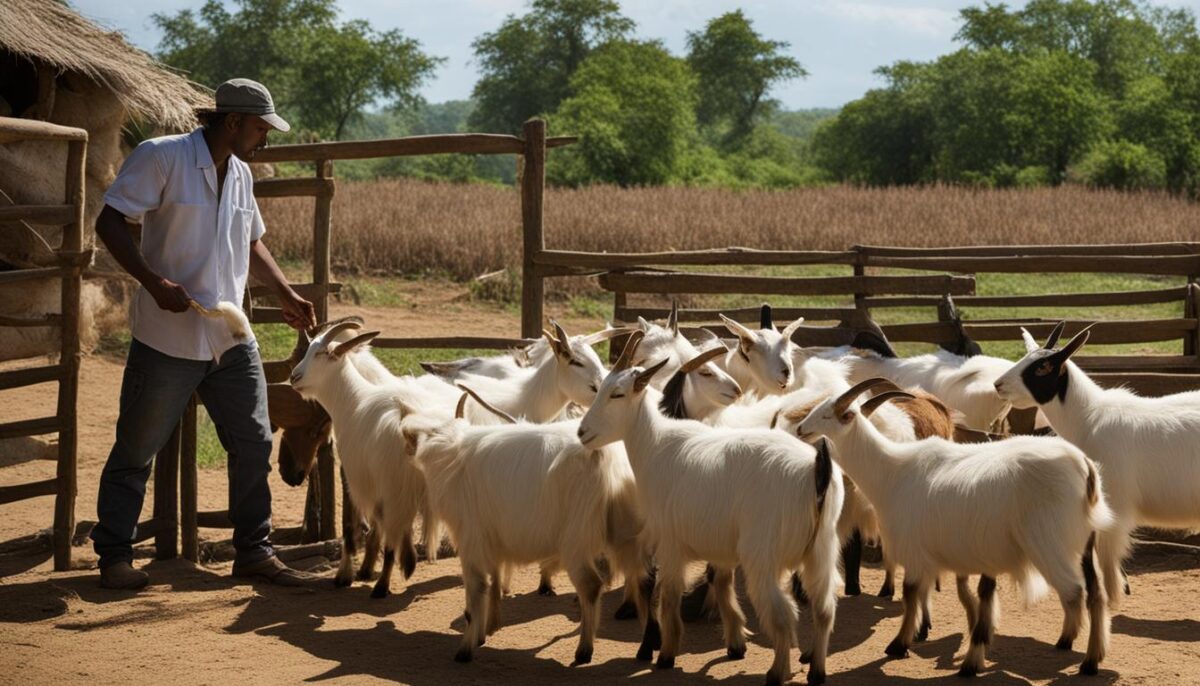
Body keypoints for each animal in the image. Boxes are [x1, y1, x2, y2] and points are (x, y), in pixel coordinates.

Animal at [578, 331, 843, 685]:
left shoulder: (671, 544)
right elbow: (722, 585)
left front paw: (666, 655)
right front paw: (735, 645)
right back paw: (816, 670)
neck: (656, 444)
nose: (582, 432)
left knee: (783, 614)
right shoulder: (720, 549)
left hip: (761, 555)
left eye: (617, 393)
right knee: (824, 609)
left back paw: (778, 672)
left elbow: (669, 597)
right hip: (821, 550)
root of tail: (817, 470)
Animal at [797, 378, 1112, 677]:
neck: (891, 471)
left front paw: (898, 644)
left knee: (1075, 592)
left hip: (1049, 545)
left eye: (829, 414)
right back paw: (1084, 653)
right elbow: (937, 593)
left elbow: (910, 594)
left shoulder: (914, 549)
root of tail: (1085, 467)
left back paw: (1084, 658)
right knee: (1097, 594)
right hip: (1085, 545)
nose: (801, 429)